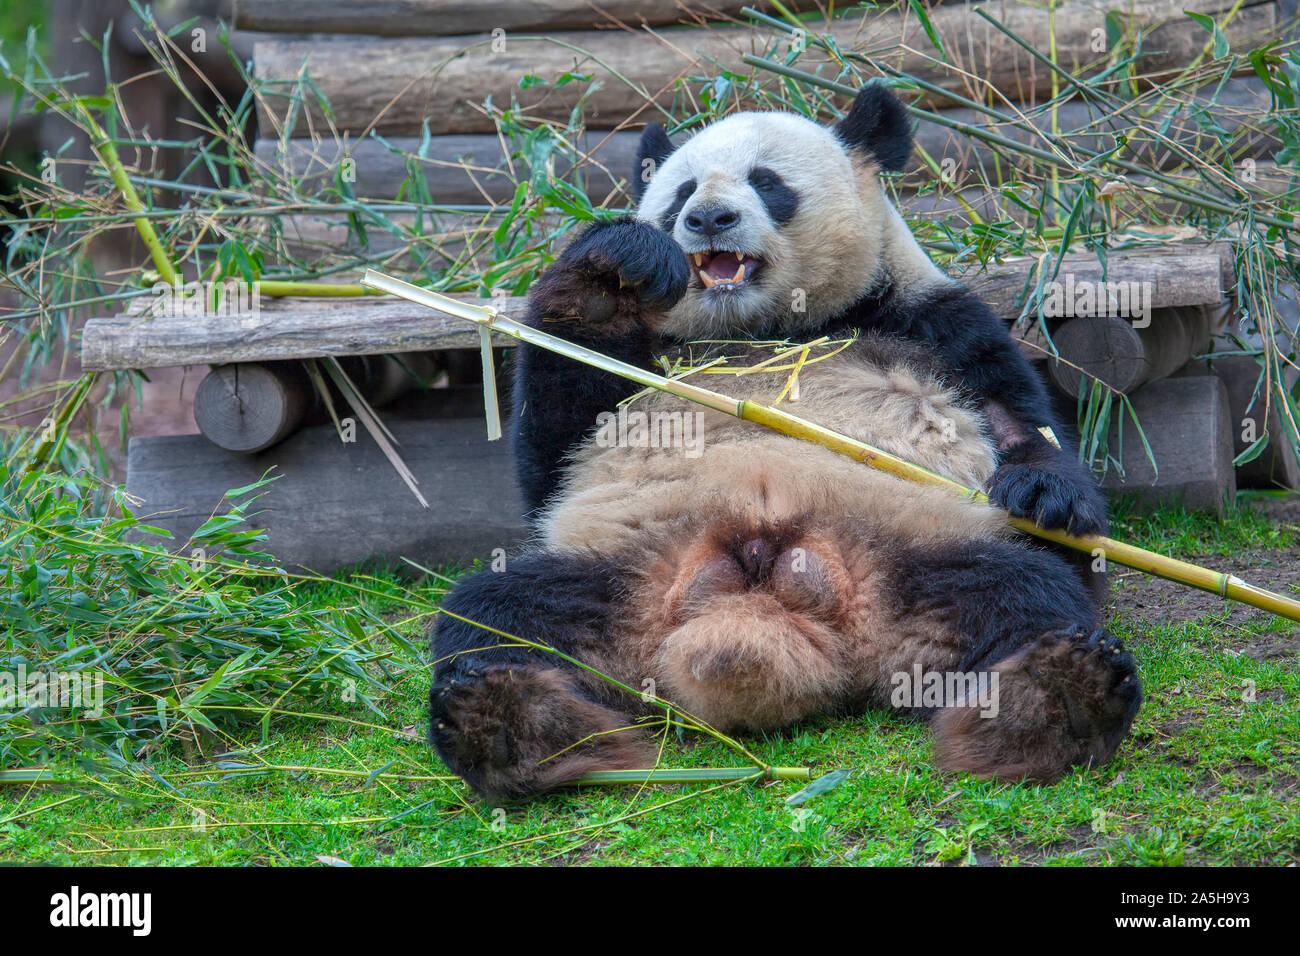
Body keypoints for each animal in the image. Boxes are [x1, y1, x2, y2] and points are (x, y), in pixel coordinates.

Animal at [429, 84, 1141, 802]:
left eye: (766, 183)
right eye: (681, 191)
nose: (708, 219)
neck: (764, 328)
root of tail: (756, 609)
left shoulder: (935, 326)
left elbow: (1022, 434)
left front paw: (1045, 495)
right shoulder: (643, 366)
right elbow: (555, 448)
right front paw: (610, 281)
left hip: (919, 566)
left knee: (1026, 594)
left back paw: (1057, 698)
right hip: (615, 583)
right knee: (494, 614)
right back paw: (510, 721)